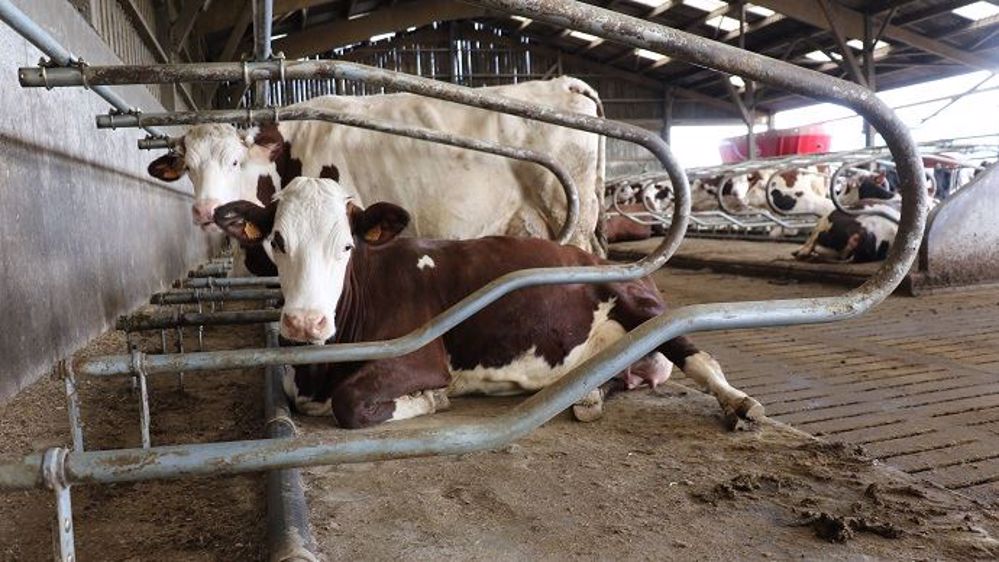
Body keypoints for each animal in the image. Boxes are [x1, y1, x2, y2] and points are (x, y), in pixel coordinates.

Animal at [213, 177, 763, 429]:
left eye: (347, 246)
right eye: (278, 241)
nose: (305, 323)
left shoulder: (420, 357)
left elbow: (351, 403)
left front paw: (430, 400)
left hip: (641, 305)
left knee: (700, 358)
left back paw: (739, 402)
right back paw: (586, 396)